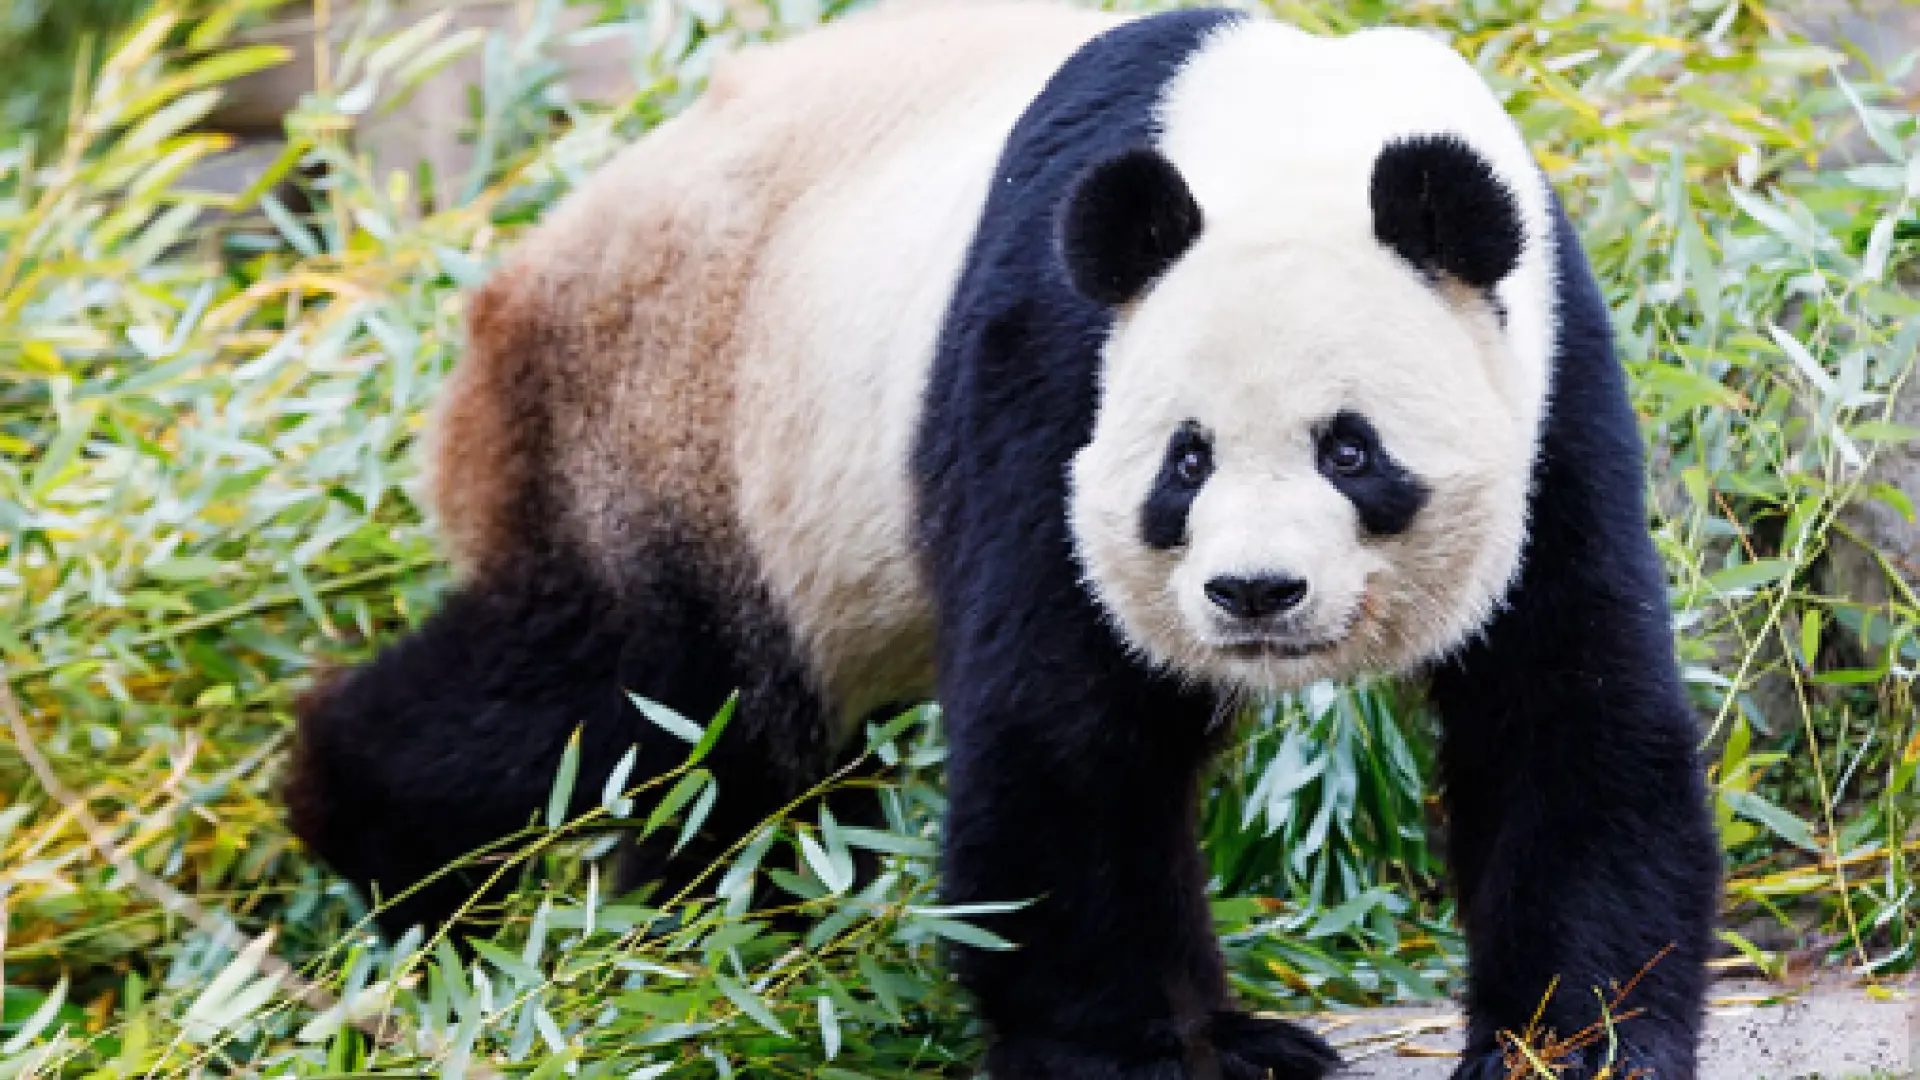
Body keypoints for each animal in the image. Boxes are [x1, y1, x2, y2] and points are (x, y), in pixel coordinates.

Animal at [285, 2, 1723, 1077]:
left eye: (1351, 451)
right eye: (1185, 460)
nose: (1255, 595)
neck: (1294, 145)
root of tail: (511, 280)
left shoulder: (1551, 384)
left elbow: (1569, 714)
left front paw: (1572, 1043)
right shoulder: (1050, 357)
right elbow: (1064, 738)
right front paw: (1168, 1056)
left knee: (741, 772)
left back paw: (737, 939)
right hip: (663, 435)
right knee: (595, 701)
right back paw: (405, 884)